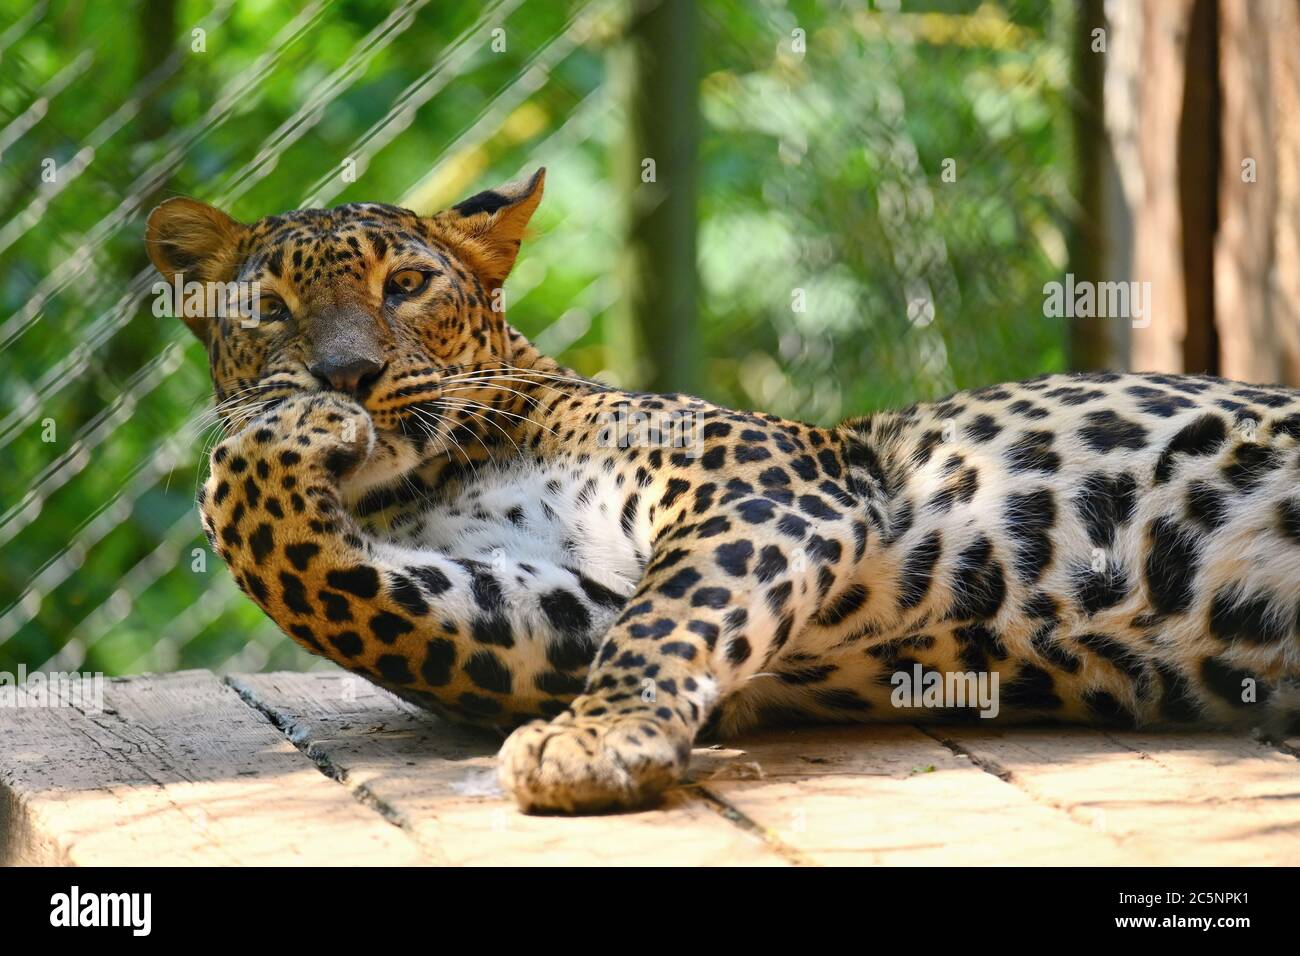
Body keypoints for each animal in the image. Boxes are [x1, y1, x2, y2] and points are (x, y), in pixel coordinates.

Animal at [145, 168, 1300, 814]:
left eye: (408, 283)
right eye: (266, 306)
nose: (343, 377)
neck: (439, 475)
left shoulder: (763, 481)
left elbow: (668, 614)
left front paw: (593, 740)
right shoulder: (550, 617)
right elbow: (310, 572)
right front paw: (279, 428)